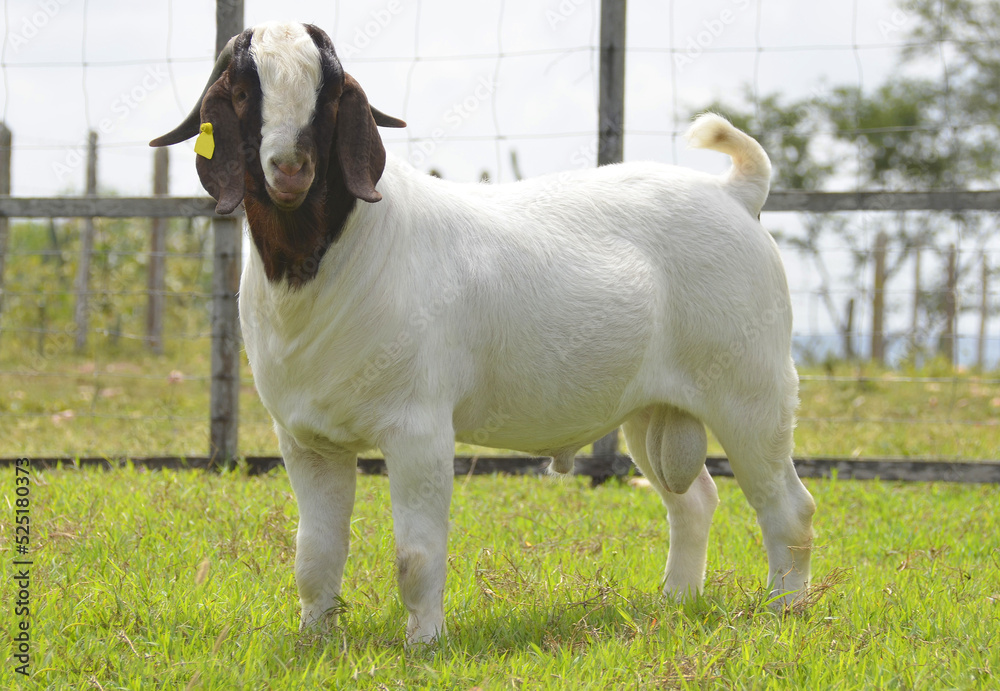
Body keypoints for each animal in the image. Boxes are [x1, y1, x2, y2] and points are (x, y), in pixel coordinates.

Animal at [151, 21, 815, 645]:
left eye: (331, 93)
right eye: (243, 90)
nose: (291, 168)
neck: (332, 256)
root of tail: (736, 194)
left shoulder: (419, 429)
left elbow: (415, 556)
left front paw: (424, 642)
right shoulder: (306, 440)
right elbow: (314, 555)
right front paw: (315, 636)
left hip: (752, 391)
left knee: (789, 509)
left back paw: (785, 610)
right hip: (651, 409)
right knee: (695, 502)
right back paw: (676, 601)